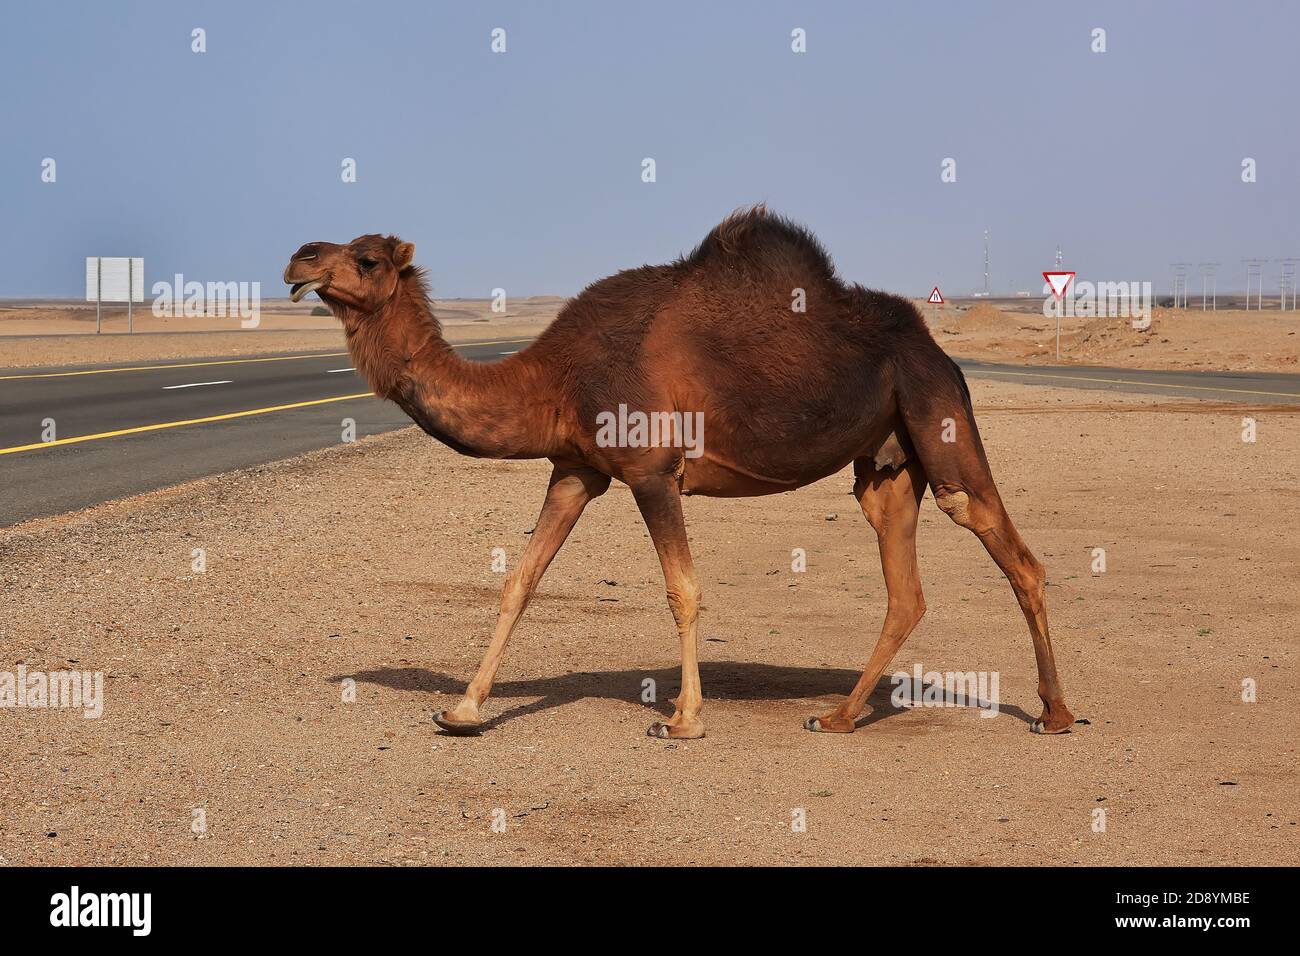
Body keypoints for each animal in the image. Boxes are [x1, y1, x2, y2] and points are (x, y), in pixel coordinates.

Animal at [284, 206, 1074, 740]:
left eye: (367, 260)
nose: (298, 256)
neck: (555, 376)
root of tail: (939, 352)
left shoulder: (651, 470)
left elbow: (682, 590)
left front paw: (684, 719)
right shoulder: (575, 469)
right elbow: (520, 581)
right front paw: (463, 709)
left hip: (936, 413)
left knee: (1001, 539)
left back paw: (1057, 713)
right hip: (885, 460)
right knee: (905, 585)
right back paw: (839, 715)